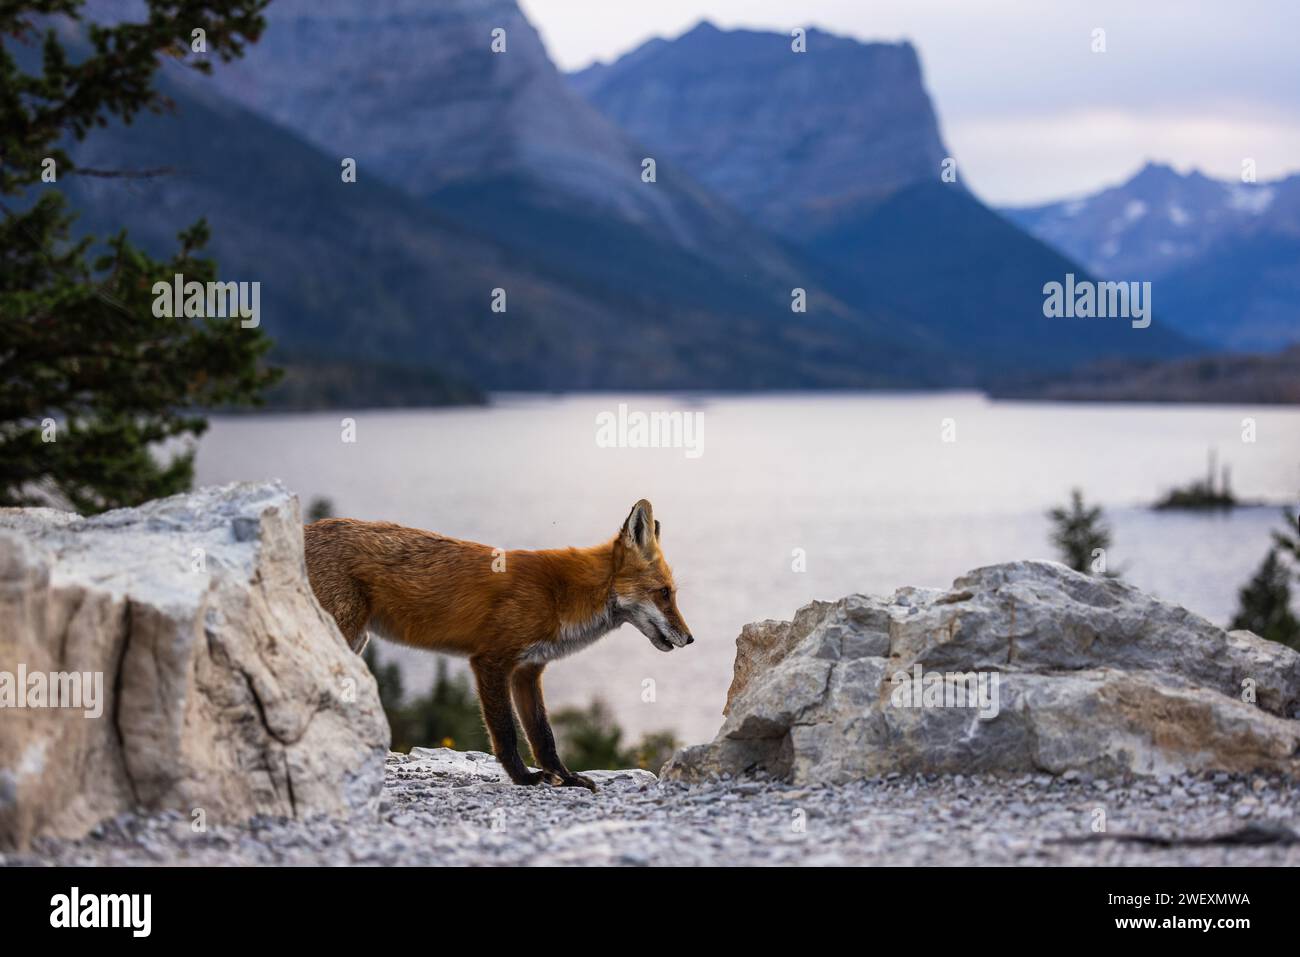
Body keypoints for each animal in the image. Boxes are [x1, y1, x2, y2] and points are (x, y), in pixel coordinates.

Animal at [303, 499, 692, 791]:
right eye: (664, 593)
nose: (690, 638)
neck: (563, 594)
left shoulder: (528, 670)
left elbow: (543, 735)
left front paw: (566, 778)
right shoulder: (490, 661)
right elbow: (506, 731)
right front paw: (524, 779)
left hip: (354, 640)